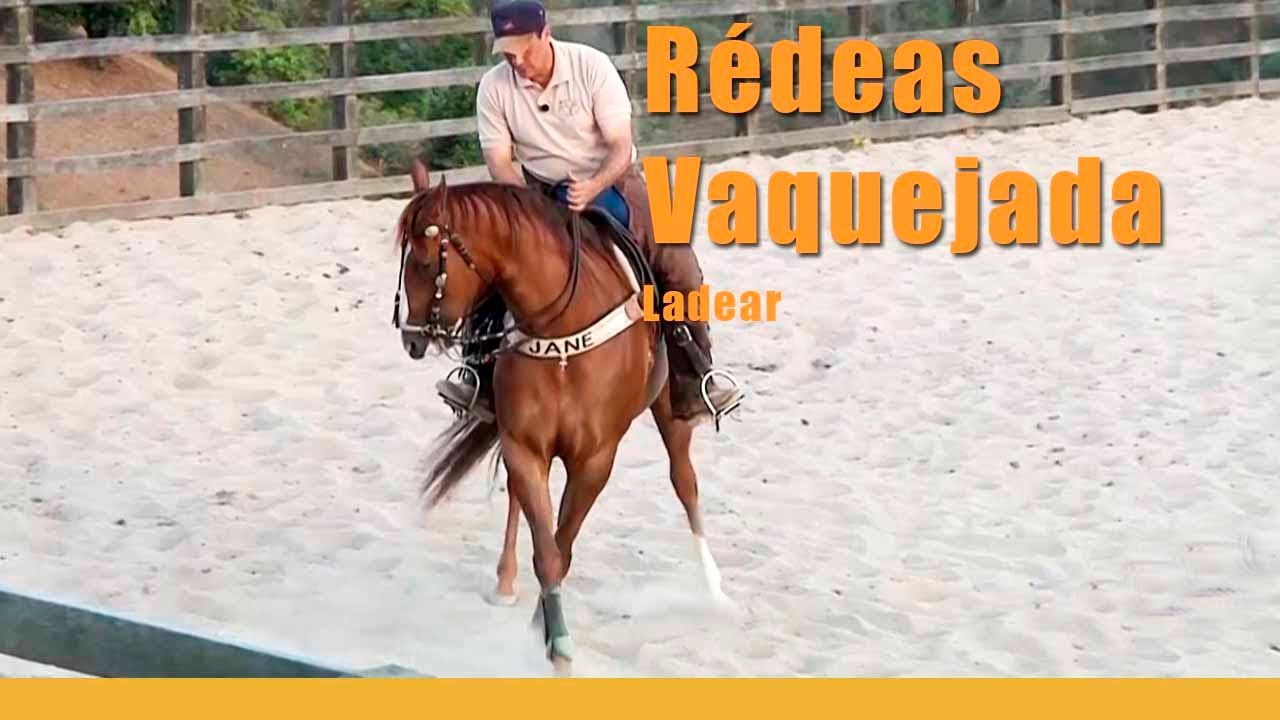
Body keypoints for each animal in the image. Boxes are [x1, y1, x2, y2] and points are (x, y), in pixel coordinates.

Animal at [391, 157, 731, 673]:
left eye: (427, 262)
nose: (411, 338)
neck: (562, 328)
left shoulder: (594, 460)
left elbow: (563, 543)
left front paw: (549, 633)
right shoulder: (524, 446)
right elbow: (547, 550)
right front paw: (553, 638)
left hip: (671, 408)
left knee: (684, 480)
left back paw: (713, 588)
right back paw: (505, 582)